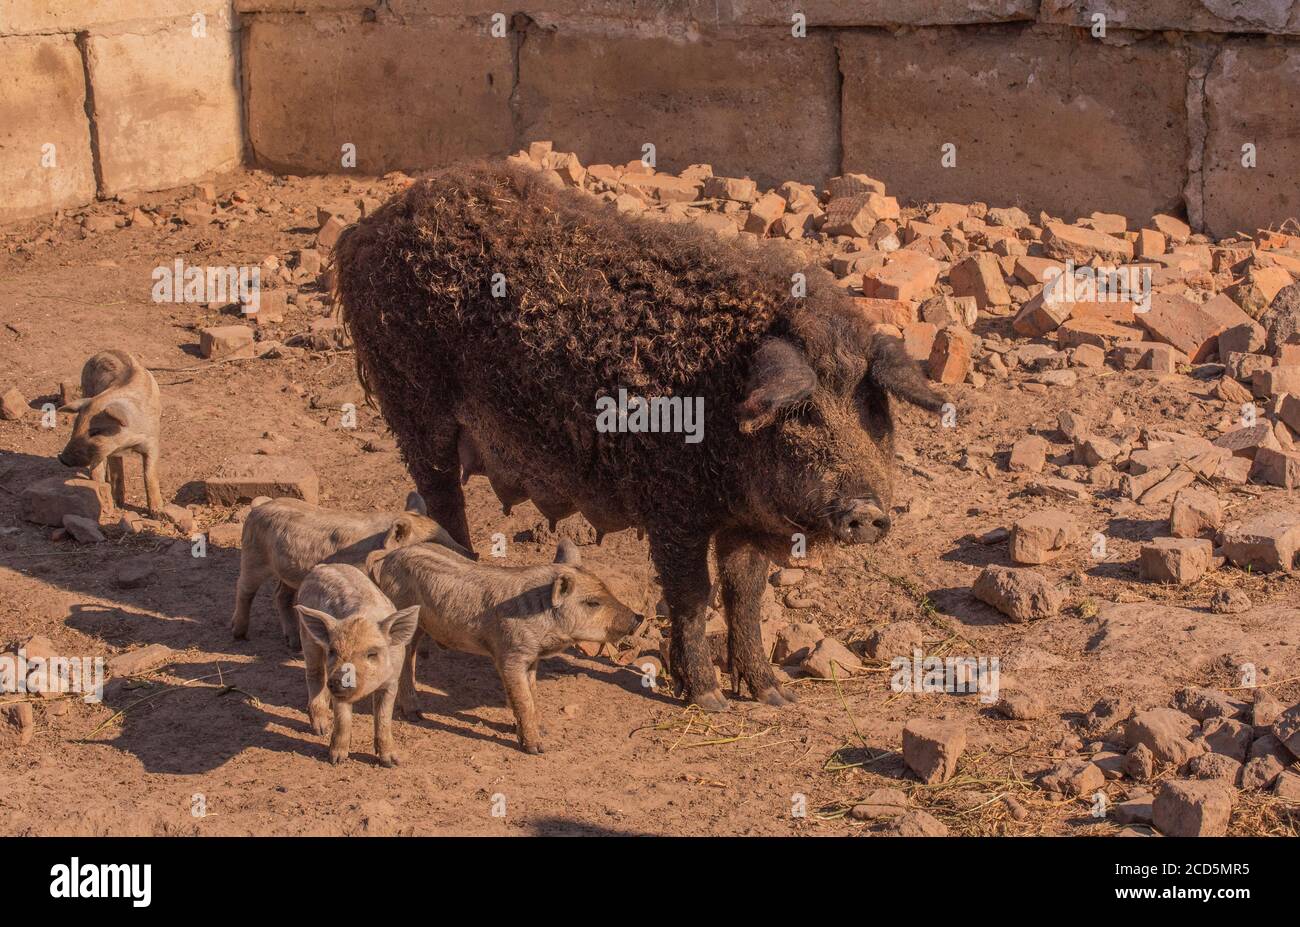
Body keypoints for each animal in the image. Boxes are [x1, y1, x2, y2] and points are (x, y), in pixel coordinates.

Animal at [58, 350, 163, 514]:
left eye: (95, 431)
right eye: (75, 427)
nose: (62, 458)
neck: (130, 440)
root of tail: (101, 352)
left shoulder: (152, 441)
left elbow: (149, 475)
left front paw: (158, 513)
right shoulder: (114, 449)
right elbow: (117, 473)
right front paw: (117, 504)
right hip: (85, 390)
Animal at [231, 496, 470, 649]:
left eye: (445, 534)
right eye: (432, 543)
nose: (472, 553)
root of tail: (261, 504)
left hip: (289, 573)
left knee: (280, 595)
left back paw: (294, 645)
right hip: (253, 556)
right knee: (244, 589)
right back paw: (238, 635)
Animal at [294, 563, 420, 766]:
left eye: (372, 653)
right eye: (333, 651)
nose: (338, 679)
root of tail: (322, 566)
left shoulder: (392, 680)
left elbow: (384, 718)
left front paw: (392, 763)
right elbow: (343, 719)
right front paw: (336, 760)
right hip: (307, 637)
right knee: (315, 674)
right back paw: (321, 730)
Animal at [336, 161, 944, 713]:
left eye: (873, 409)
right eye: (801, 412)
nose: (867, 510)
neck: (720, 402)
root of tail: (366, 228)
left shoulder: (743, 523)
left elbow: (745, 595)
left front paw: (775, 696)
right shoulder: (670, 505)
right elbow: (692, 594)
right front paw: (709, 702)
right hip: (414, 407)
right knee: (444, 500)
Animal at [369, 539, 642, 754]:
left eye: (606, 588)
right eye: (592, 602)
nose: (638, 617)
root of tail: (388, 557)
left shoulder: (531, 658)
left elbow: (531, 693)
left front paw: (541, 729)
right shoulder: (510, 655)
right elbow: (522, 698)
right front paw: (537, 749)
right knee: (406, 662)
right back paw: (416, 715)